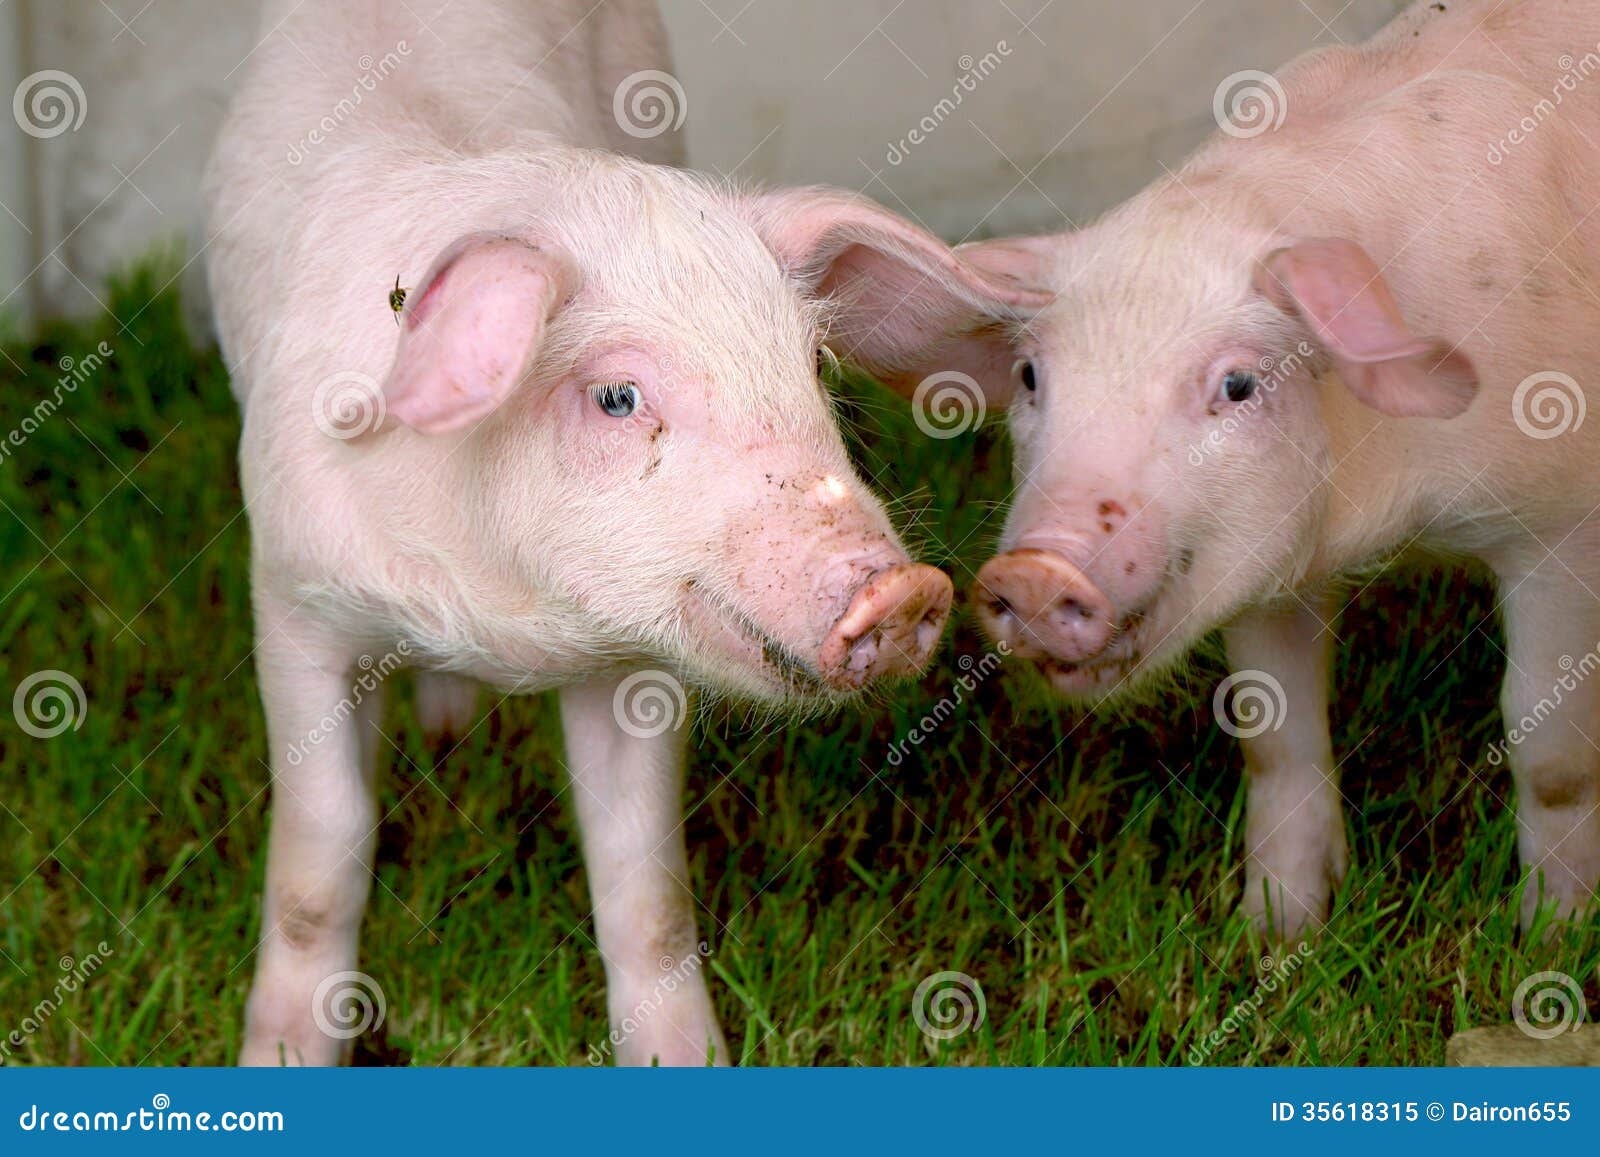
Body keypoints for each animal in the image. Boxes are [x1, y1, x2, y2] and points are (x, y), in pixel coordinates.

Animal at [203, 0, 1046, 1065]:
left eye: (814, 364)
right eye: (616, 396)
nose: (903, 590)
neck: (504, 616)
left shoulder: (634, 666)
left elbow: (644, 882)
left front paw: (689, 1061)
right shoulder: (292, 599)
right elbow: (322, 855)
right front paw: (275, 1059)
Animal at [962, 0, 1600, 938]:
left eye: (1238, 384)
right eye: (1032, 375)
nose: (1035, 572)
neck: (1396, 516)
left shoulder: (1561, 524)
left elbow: (1548, 743)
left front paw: (1549, 935)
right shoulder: (1269, 558)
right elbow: (1273, 733)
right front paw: (1271, 932)